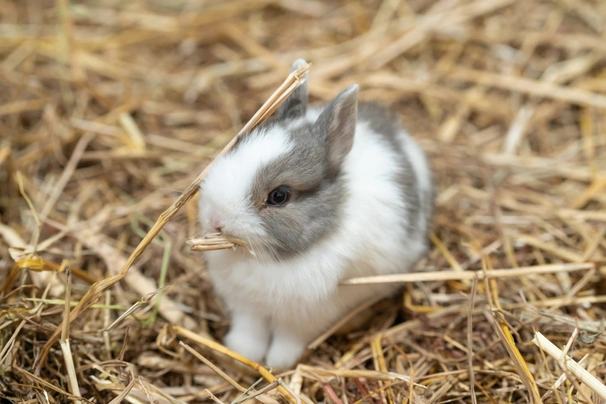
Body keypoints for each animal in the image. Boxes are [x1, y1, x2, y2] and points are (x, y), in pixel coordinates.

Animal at [198, 60, 432, 370]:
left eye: (279, 196)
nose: (216, 219)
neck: (265, 260)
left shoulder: (305, 317)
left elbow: (288, 338)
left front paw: (279, 362)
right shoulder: (247, 307)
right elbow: (250, 332)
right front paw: (242, 353)